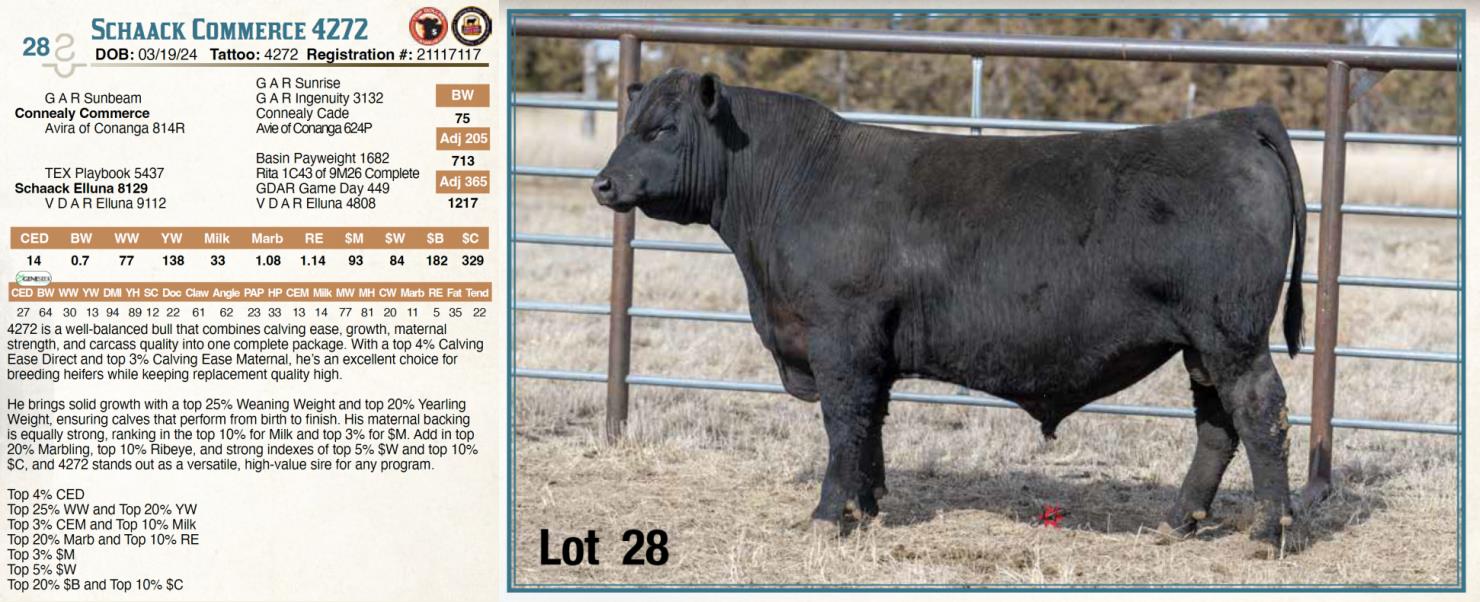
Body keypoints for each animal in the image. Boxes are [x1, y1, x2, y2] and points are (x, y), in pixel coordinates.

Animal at [591, 68, 1309, 554]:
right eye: (630, 125)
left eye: (662, 129)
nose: (603, 183)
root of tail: (1234, 121)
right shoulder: (872, 349)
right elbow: (871, 426)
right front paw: (867, 507)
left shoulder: (840, 339)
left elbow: (844, 423)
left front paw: (828, 515)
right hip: (1203, 343)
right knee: (1217, 424)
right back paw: (1176, 522)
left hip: (1232, 334)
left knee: (1260, 411)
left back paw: (1269, 532)